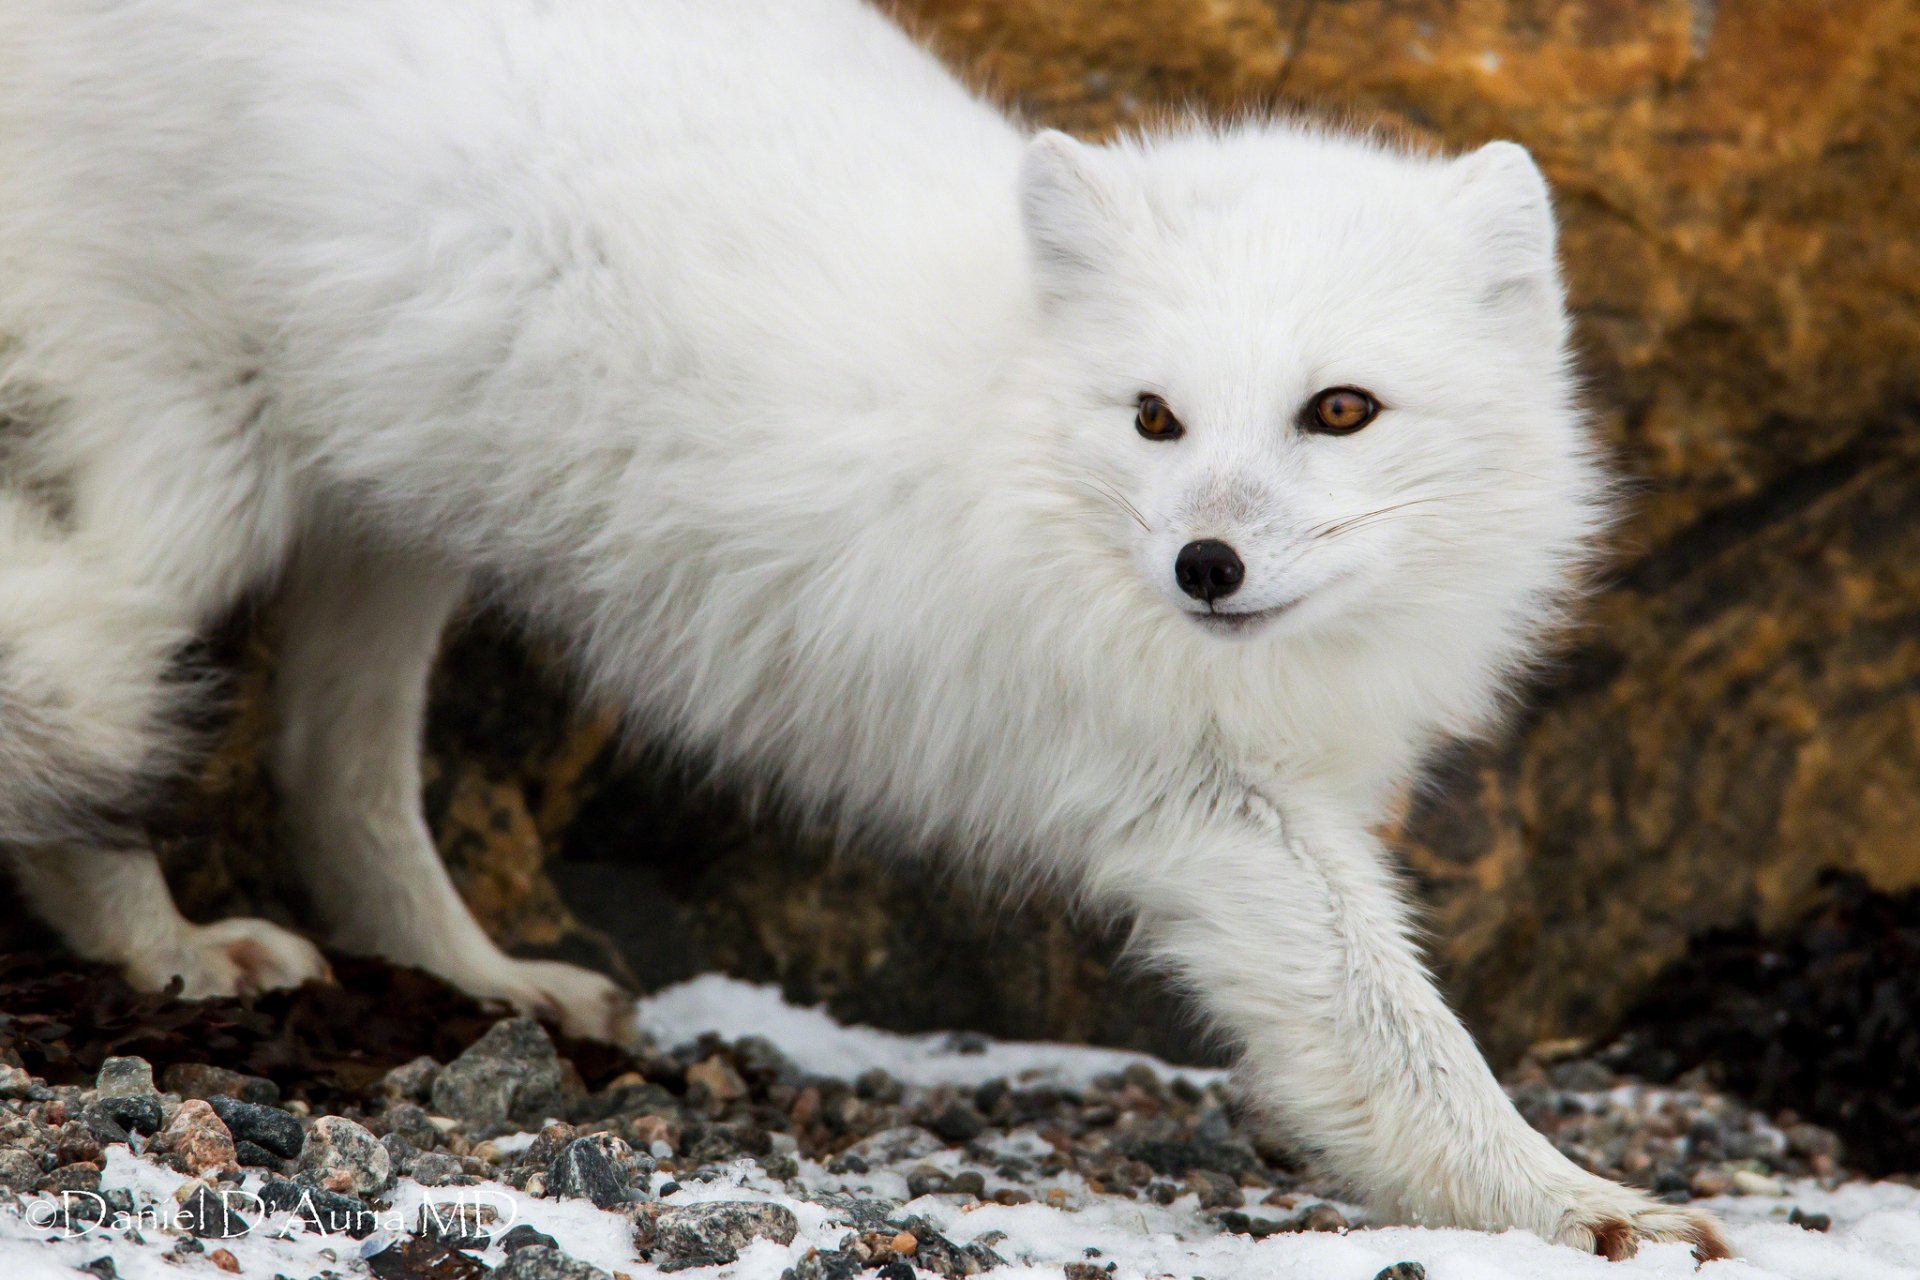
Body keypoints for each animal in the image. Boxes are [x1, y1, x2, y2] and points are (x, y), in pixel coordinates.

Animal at [0, 0, 1729, 1259]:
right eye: (1156, 418)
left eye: (1342, 411)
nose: (1206, 567)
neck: (1019, 424)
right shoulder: (1203, 804)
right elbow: (1397, 1038)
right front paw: (1579, 1206)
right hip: (200, 490)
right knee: (98, 702)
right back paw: (166, 947)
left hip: (398, 526)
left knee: (331, 766)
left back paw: (472, 975)